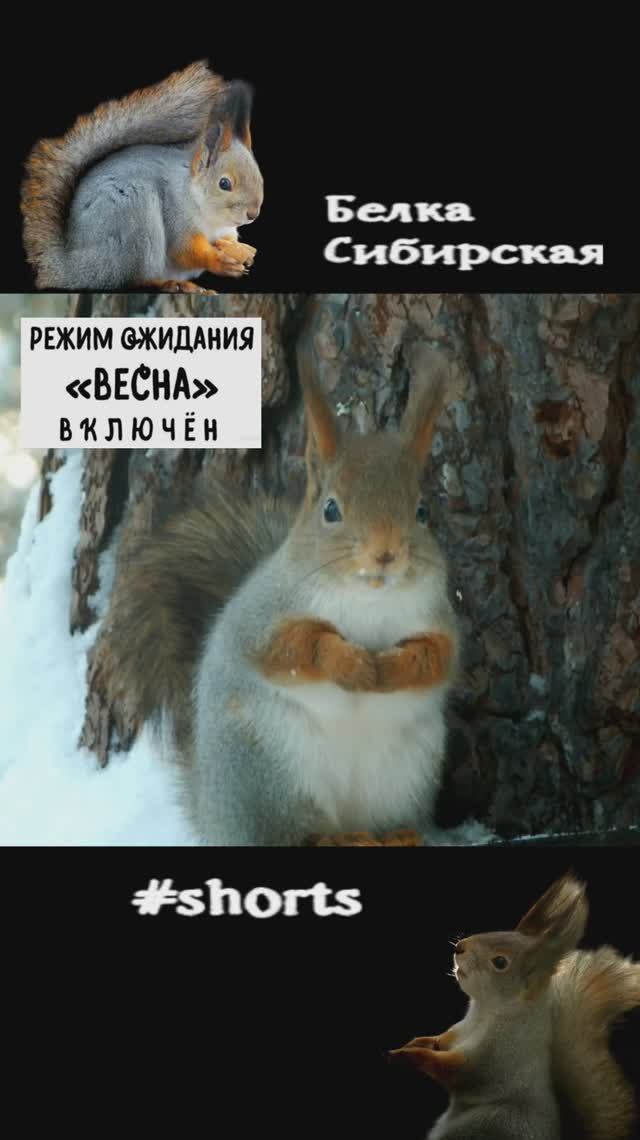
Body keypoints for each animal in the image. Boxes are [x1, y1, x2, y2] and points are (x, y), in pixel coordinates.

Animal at [20, 61, 263, 292]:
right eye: (224, 183)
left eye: (260, 179)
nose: (252, 214)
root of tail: (72, 267)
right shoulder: (177, 216)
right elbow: (184, 250)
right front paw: (220, 262)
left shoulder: (225, 230)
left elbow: (226, 240)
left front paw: (240, 250)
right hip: (135, 219)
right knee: (135, 279)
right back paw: (170, 284)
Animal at [101, 342, 461, 846]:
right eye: (331, 509)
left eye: (423, 512)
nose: (385, 554)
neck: (368, 599)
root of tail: (215, 814)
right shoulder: (263, 616)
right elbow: (294, 647)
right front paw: (350, 662)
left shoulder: (438, 619)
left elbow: (436, 657)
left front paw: (392, 667)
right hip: (270, 774)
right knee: (290, 834)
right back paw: (335, 838)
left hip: (406, 773)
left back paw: (395, 835)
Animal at [390, 874, 640, 1140]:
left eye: (500, 962)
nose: (460, 947)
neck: (486, 1011)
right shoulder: (460, 1030)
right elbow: (441, 1040)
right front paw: (417, 1042)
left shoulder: (497, 1055)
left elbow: (456, 1071)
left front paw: (409, 1054)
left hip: (488, 1123)